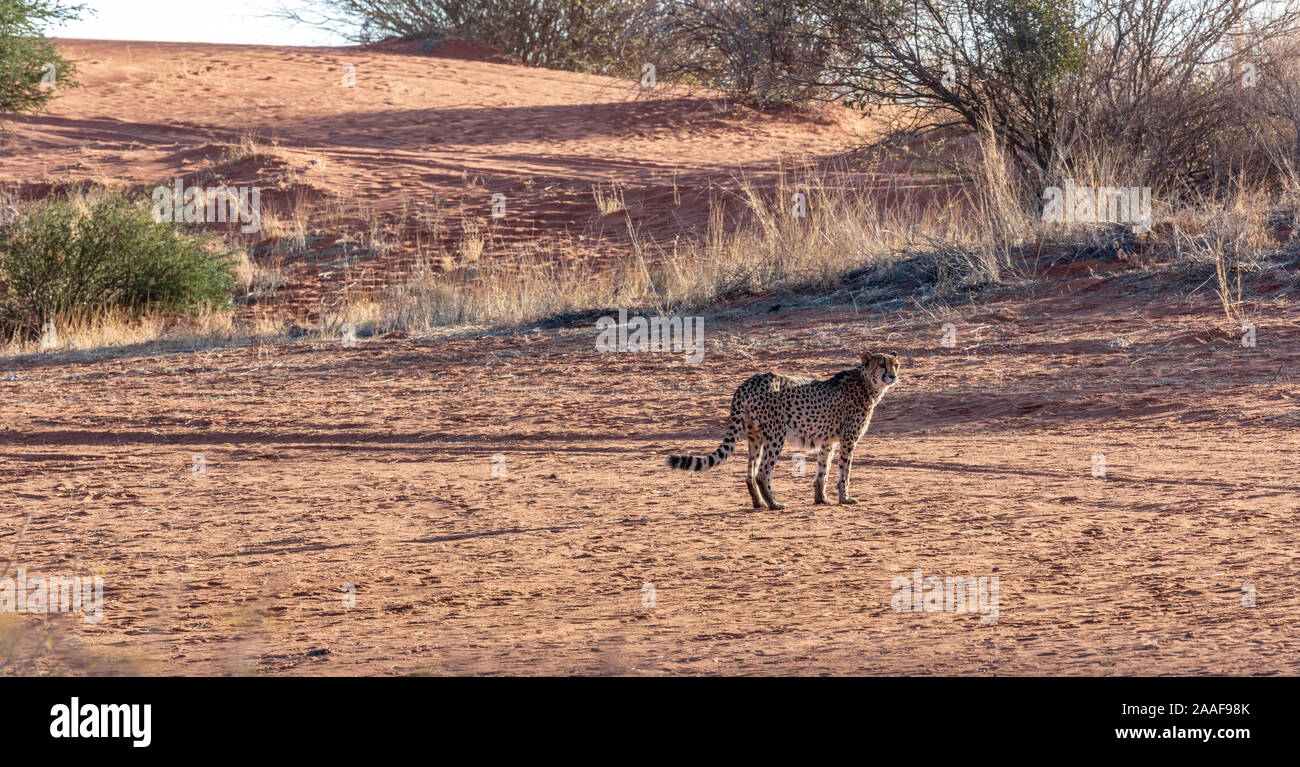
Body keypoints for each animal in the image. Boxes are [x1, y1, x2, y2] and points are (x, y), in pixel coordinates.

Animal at [665, 351, 900, 510]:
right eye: (882, 364)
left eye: (896, 365)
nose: (893, 376)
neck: (867, 382)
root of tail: (749, 382)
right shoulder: (848, 439)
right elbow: (845, 472)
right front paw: (845, 499)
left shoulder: (828, 441)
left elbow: (822, 472)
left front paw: (821, 499)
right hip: (776, 435)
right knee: (762, 473)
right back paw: (774, 504)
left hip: (755, 436)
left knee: (750, 473)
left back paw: (759, 503)